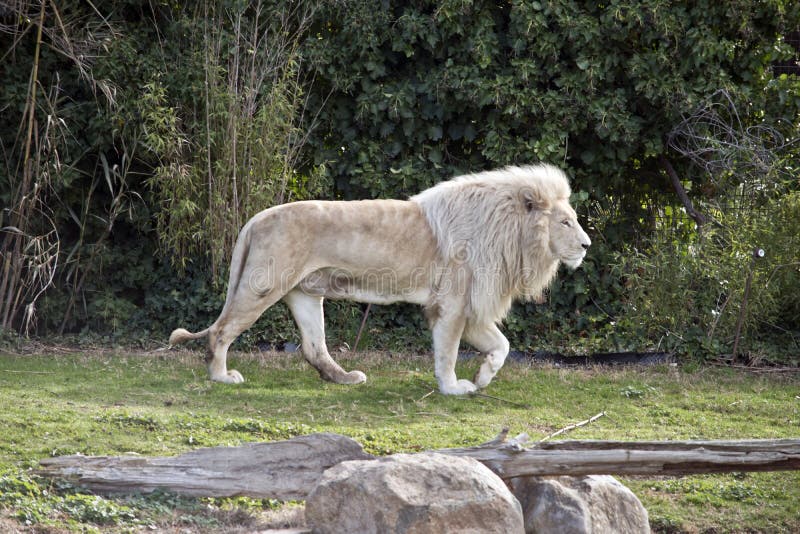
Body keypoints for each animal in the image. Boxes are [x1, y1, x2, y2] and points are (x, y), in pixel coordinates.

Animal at [170, 164, 591, 395]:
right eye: (565, 222)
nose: (587, 245)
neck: (512, 234)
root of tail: (256, 218)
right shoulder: (452, 304)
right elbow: (448, 351)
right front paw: (452, 387)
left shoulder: (470, 308)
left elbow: (502, 345)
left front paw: (484, 377)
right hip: (263, 286)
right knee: (220, 330)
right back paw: (221, 377)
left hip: (304, 294)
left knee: (313, 347)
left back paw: (344, 378)